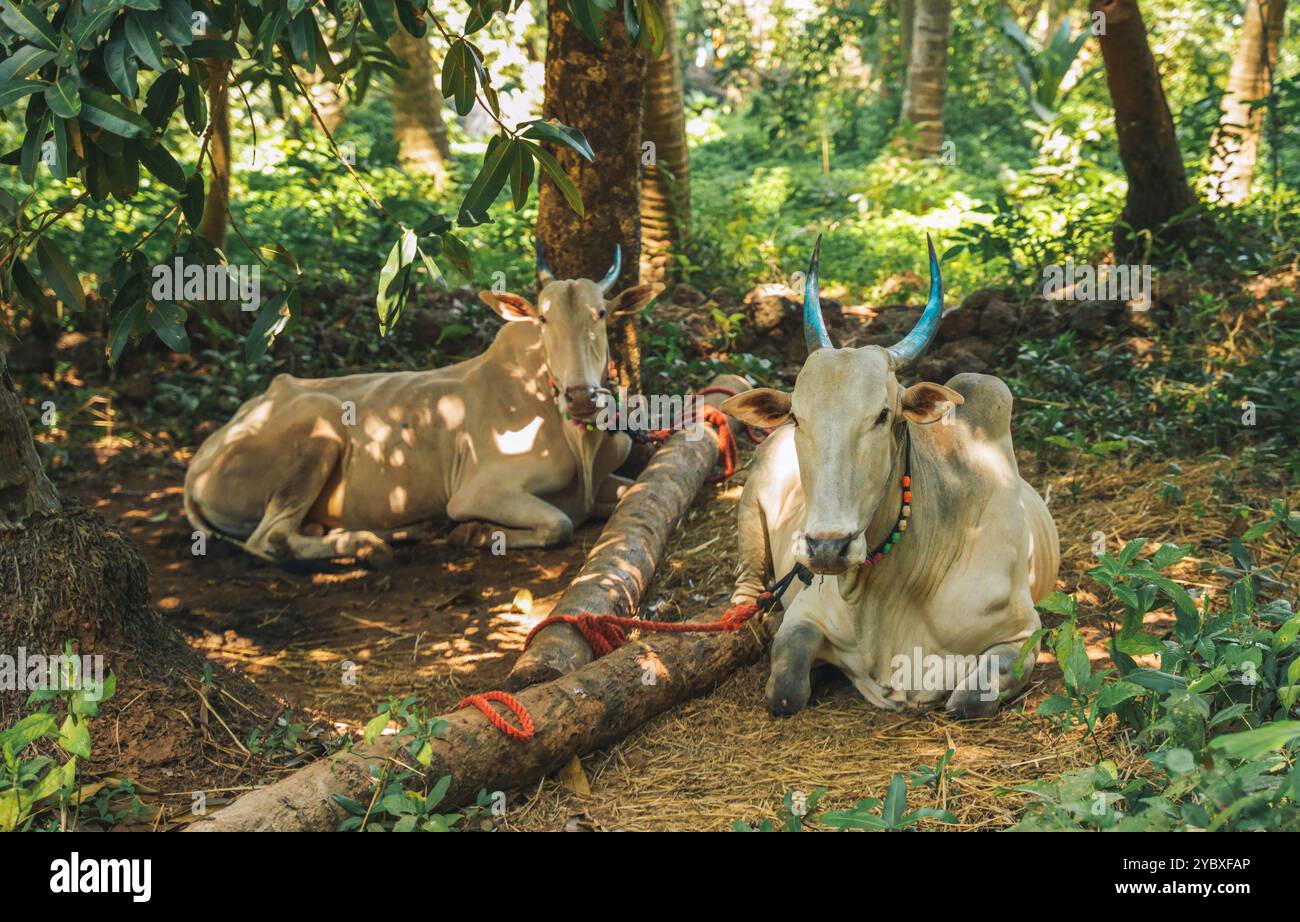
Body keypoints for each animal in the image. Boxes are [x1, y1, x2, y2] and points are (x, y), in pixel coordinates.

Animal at [183, 249, 660, 565]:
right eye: (543, 319)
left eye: (601, 314)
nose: (581, 396)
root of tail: (200, 461)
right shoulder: (480, 491)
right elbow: (559, 524)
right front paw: (472, 533)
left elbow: (631, 491)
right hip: (318, 418)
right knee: (270, 539)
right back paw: (365, 545)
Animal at [721, 238, 1059, 718]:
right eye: (798, 417)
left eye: (883, 414)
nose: (827, 547)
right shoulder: (807, 612)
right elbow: (785, 687)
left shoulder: (1021, 632)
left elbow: (968, 699)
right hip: (750, 504)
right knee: (748, 583)